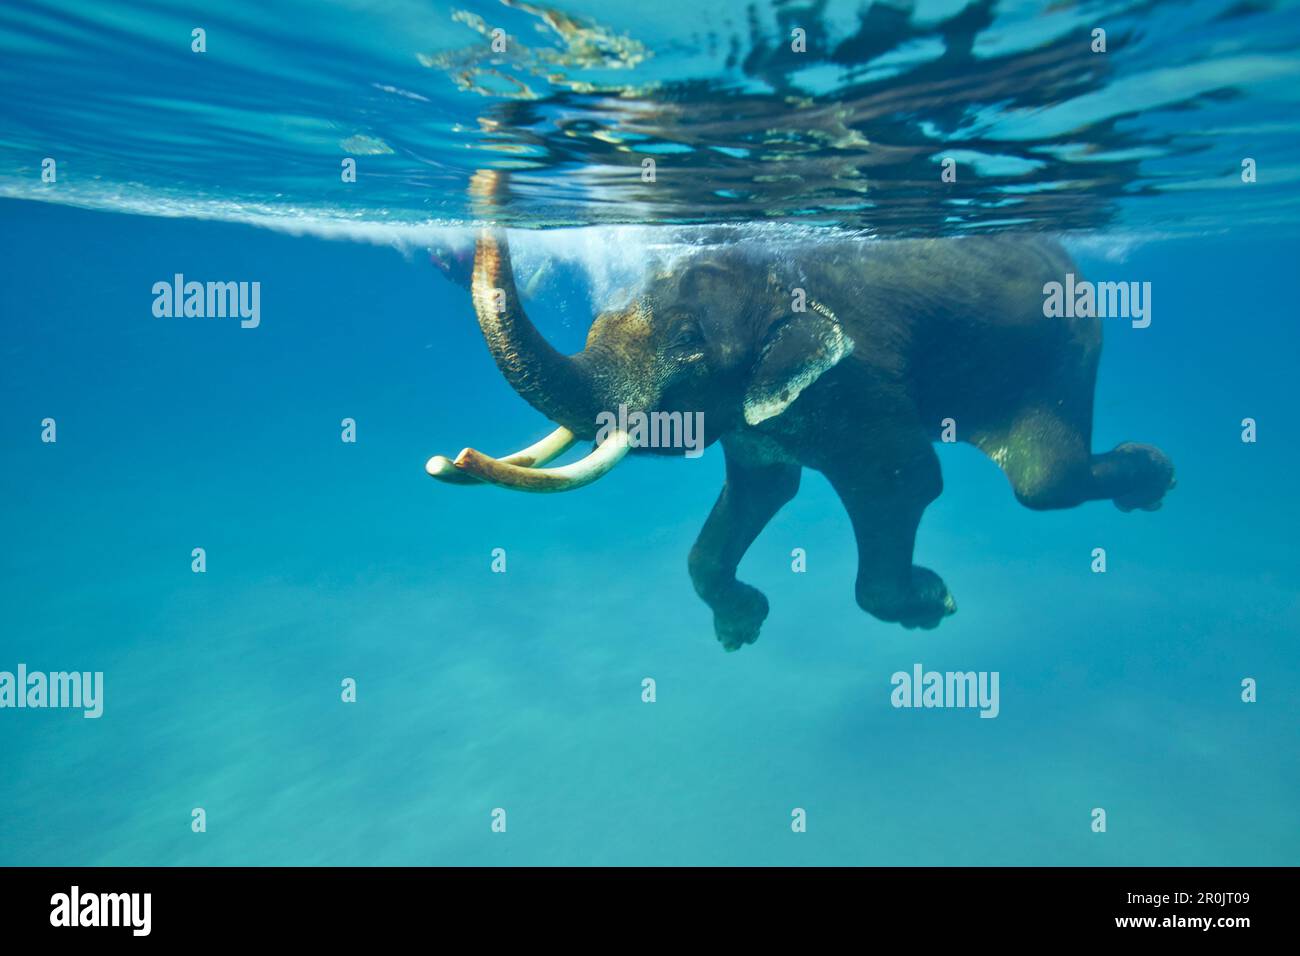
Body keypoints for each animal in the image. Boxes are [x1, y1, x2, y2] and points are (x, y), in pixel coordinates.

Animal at [427, 230, 1175, 650]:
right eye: (591, 326)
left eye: (688, 341)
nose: (446, 458)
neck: (772, 281)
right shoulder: (757, 419)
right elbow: (763, 489)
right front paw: (743, 627)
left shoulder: (859, 383)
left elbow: (905, 480)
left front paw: (933, 604)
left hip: (1068, 344)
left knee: (1042, 481)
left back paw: (1157, 474)